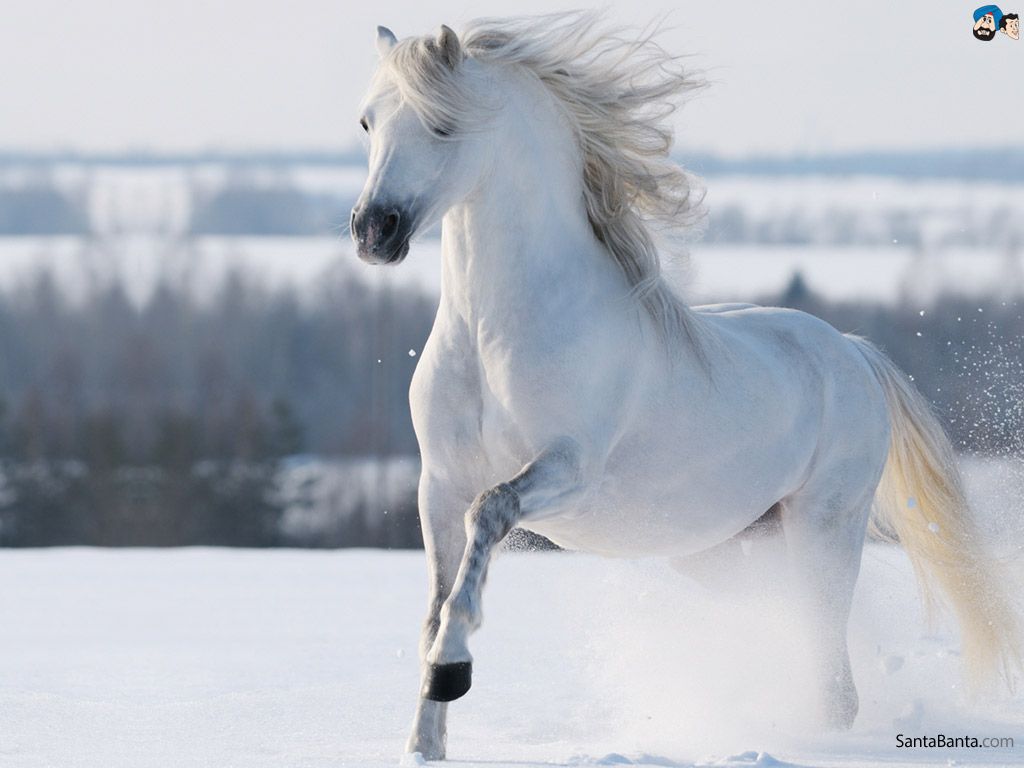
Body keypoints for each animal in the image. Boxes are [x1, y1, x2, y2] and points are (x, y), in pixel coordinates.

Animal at [349, 13, 1020, 761]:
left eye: (442, 125)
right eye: (368, 121)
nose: (373, 231)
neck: (492, 333)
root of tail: (851, 350)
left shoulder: (568, 471)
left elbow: (486, 522)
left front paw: (451, 672)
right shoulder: (437, 483)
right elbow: (435, 602)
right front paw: (424, 741)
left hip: (824, 526)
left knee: (832, 672)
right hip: (725, 549)